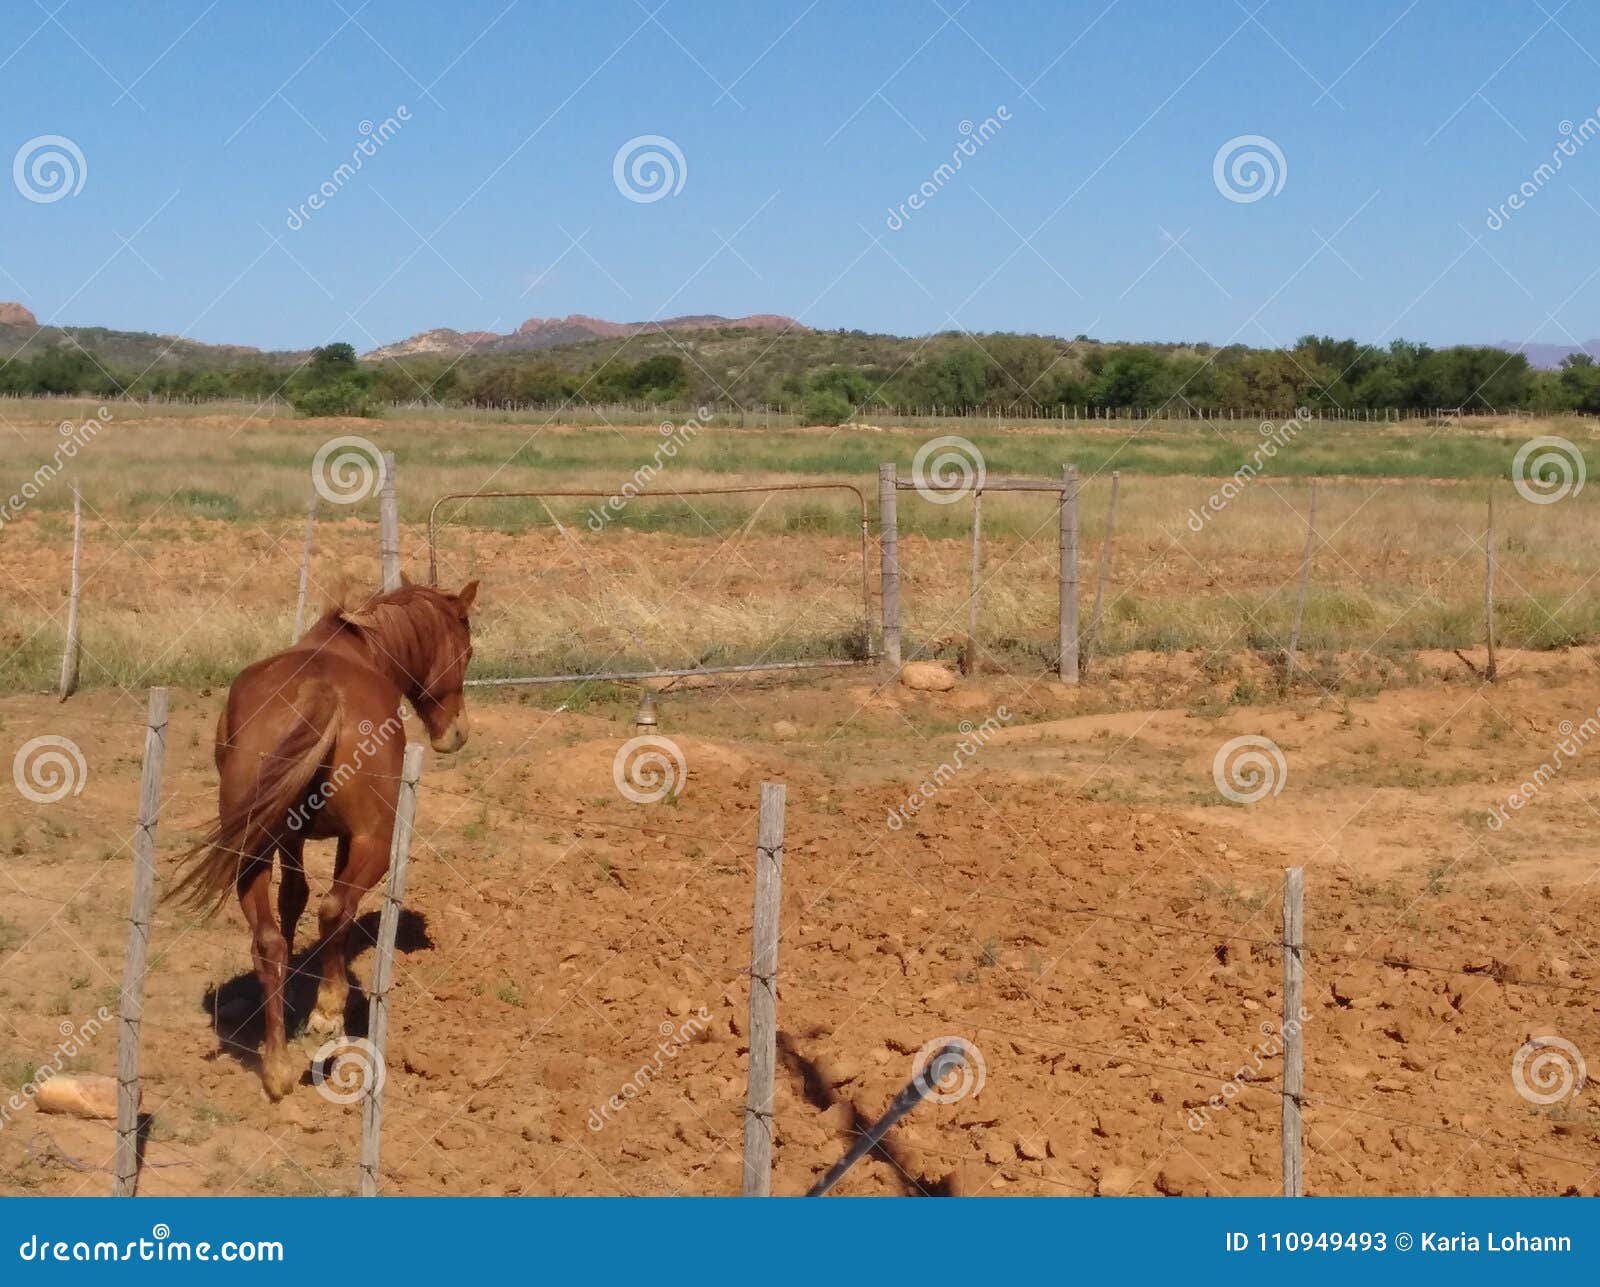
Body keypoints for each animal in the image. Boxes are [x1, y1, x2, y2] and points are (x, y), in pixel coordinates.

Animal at [170, 580, 479, 1100]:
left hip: (252, 850)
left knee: (268, 940)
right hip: (375, 842)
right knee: (335, 907)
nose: (456, 734)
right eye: (468, 651)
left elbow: (293, 900)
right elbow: (335, 908)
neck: (358, 648)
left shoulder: (289, 838)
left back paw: (276, 1067)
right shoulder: (354, 840)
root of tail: (318, 692)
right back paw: (328, 1010)